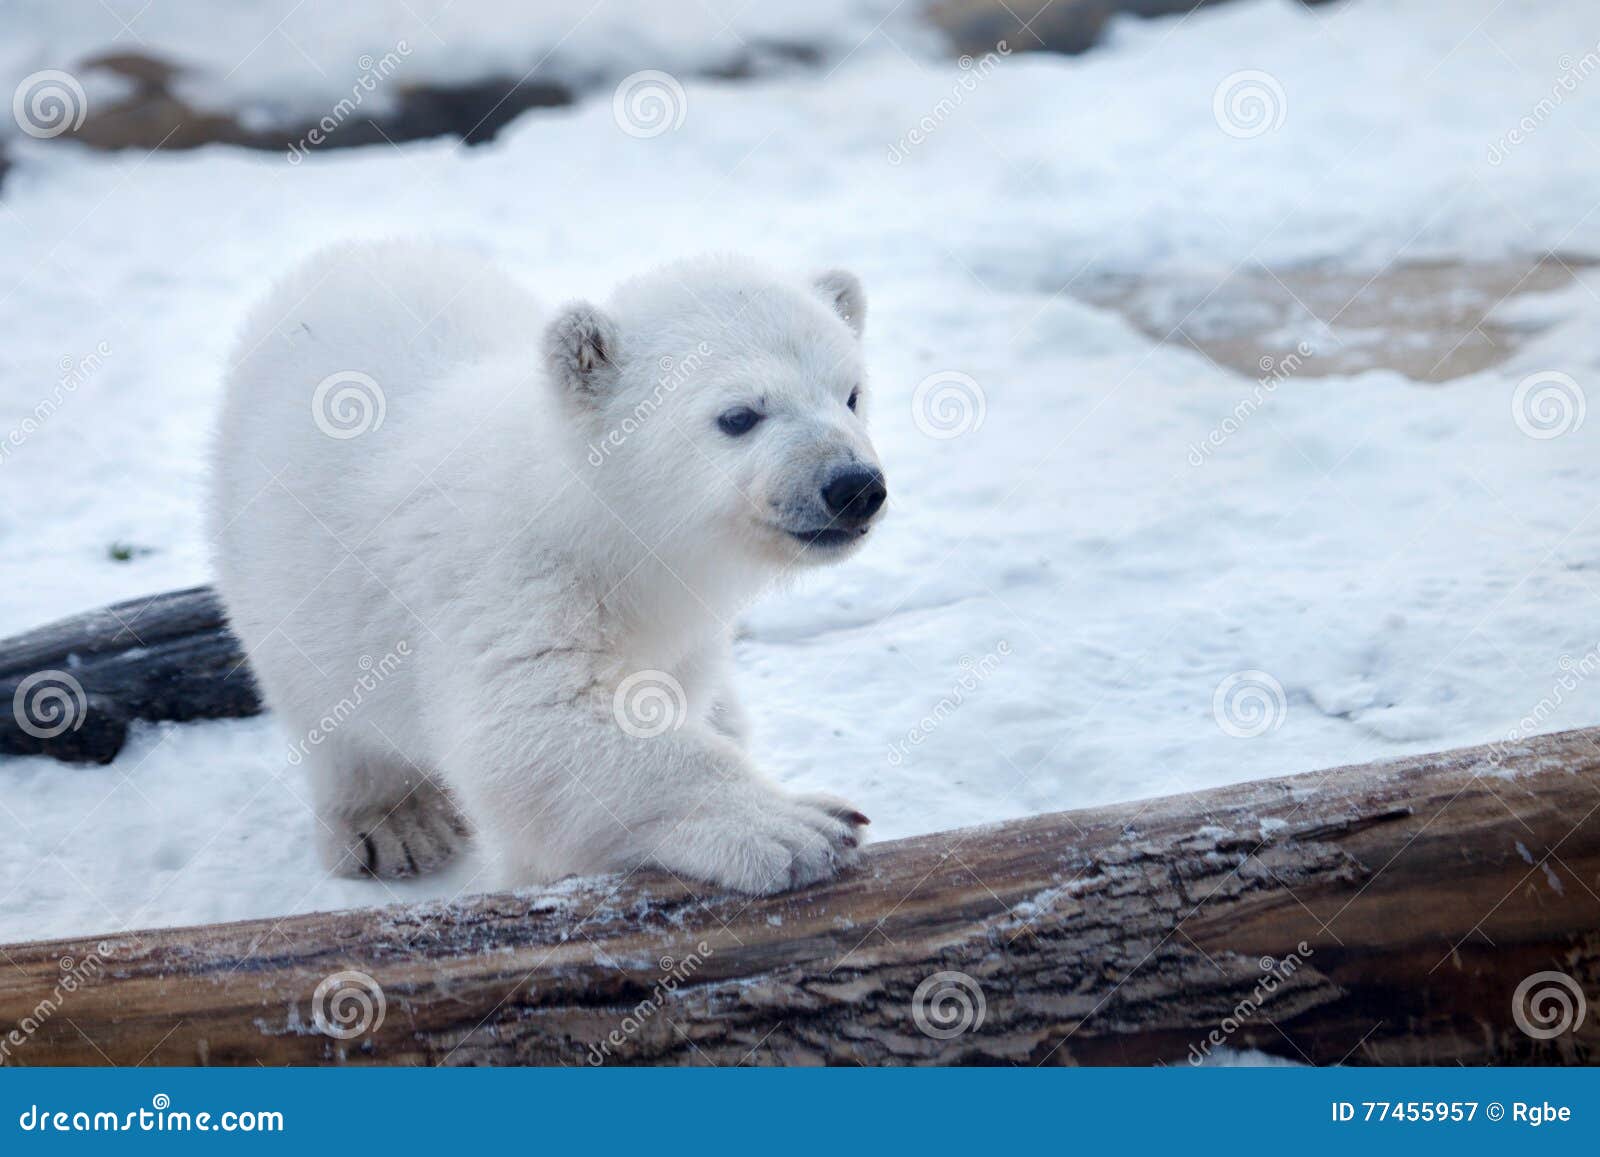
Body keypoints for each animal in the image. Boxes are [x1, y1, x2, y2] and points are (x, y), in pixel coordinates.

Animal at [209, 242, 887, 895]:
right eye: (739, 415)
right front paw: (801, 825)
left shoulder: (678, 622)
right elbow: (529, 720)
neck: (592, 520)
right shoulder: (505, 580)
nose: (855, 487)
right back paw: (396, 825)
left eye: (852, 395)